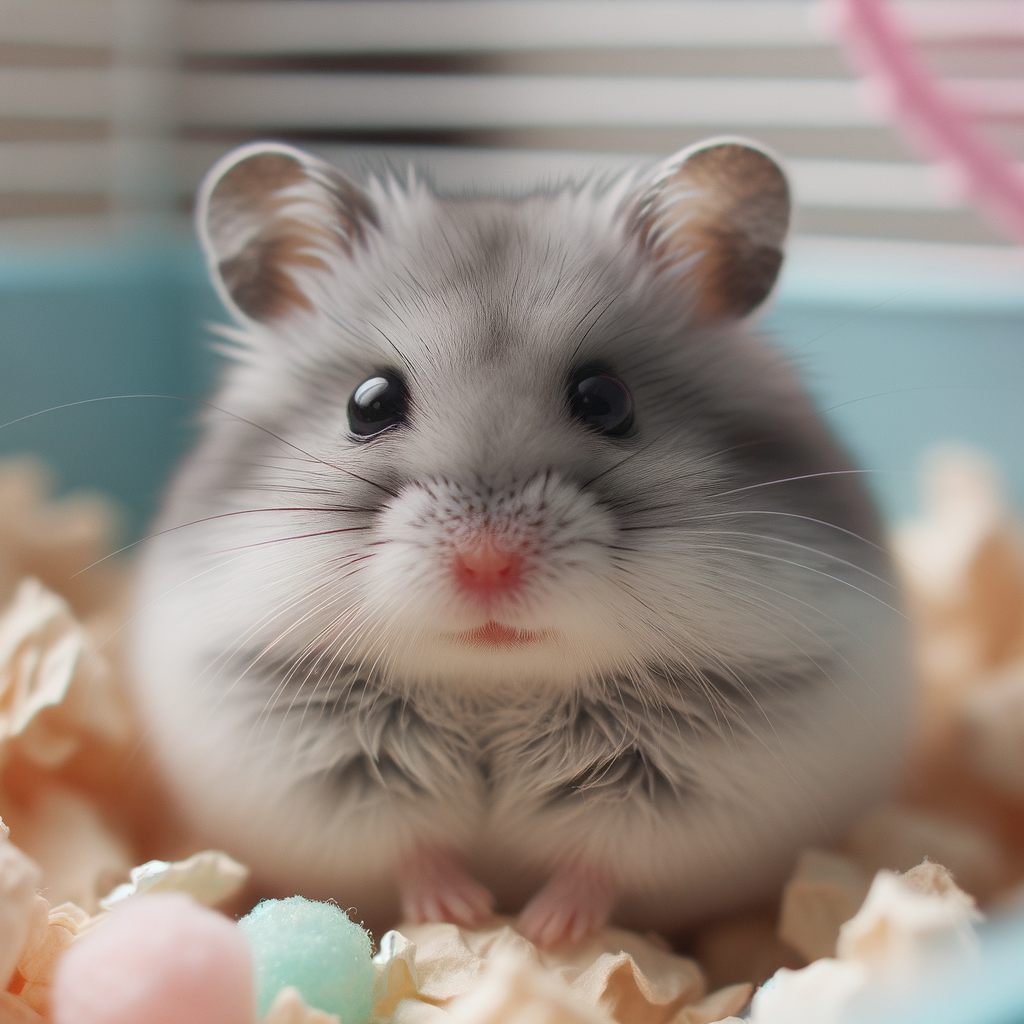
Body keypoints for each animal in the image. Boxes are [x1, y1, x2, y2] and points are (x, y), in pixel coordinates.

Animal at [131, 137, 912, 946]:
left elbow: (600, 861)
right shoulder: (314, 762)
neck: (496, 684)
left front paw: (545, 931)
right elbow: (412, 846)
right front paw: (462, 913)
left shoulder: (695, 784)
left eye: (607, 399)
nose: (487, 564)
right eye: (367, 403)